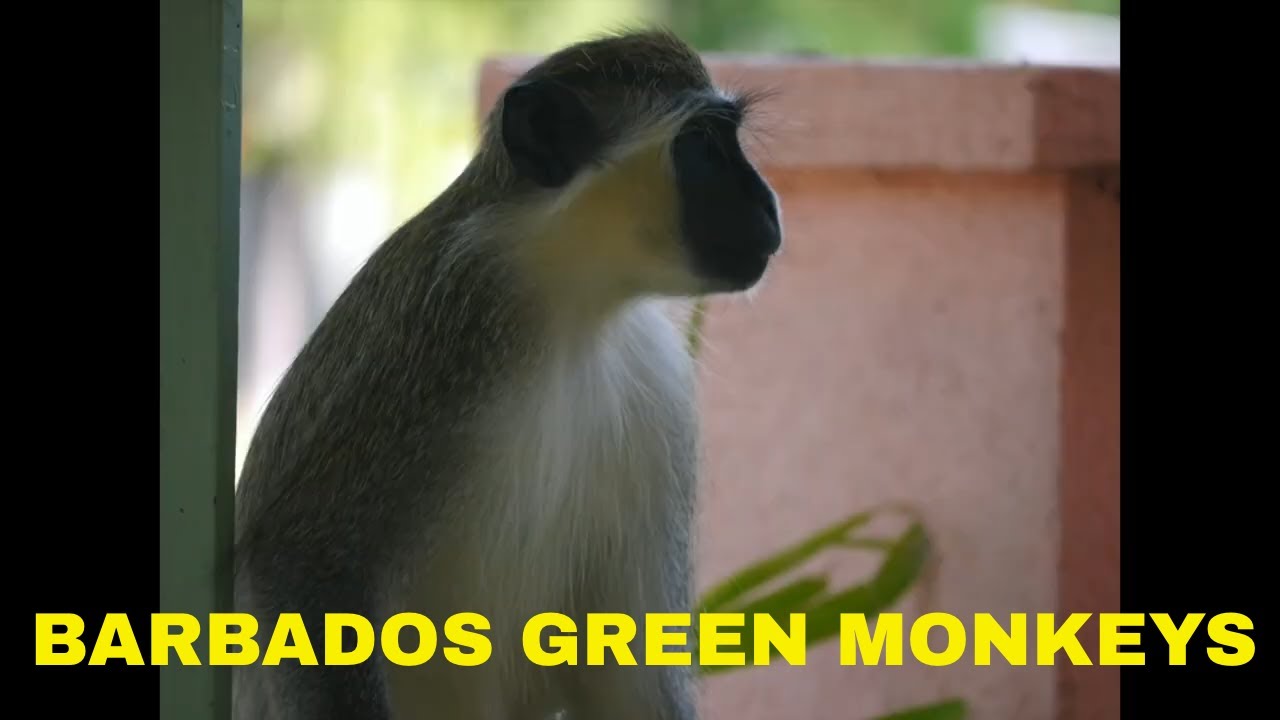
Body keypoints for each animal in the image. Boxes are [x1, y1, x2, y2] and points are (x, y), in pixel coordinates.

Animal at [232, 27, 783, 720]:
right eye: (706, 144)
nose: (769, 202)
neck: (570, 307)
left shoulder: (659, 383)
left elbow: (631, 684)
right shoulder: (443, 332)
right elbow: (302, 559)